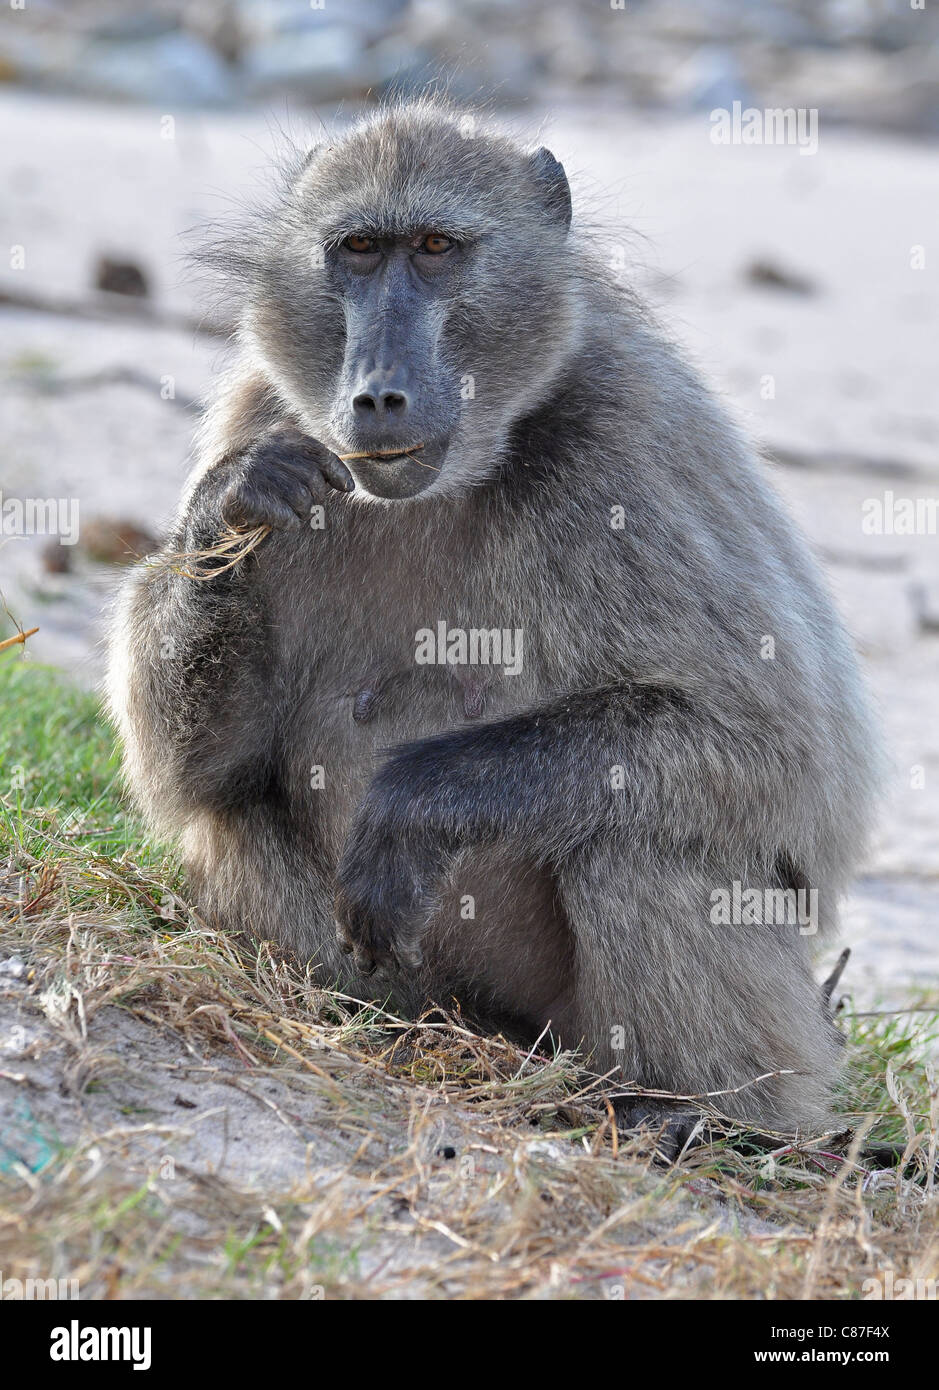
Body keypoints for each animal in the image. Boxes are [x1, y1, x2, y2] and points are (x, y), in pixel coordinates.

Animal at [107, 98, 881, 1145]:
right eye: (357, 249)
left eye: (436, 248)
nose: (378, 393)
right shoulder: (263, 411)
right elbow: (187, 774)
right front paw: (233, 504)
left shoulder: (629, 439)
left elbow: (786, 756)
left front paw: (412, 803)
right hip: (429, 994)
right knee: (231, 812)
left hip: (686, 1029)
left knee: (638, 842)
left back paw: (697, 1118)